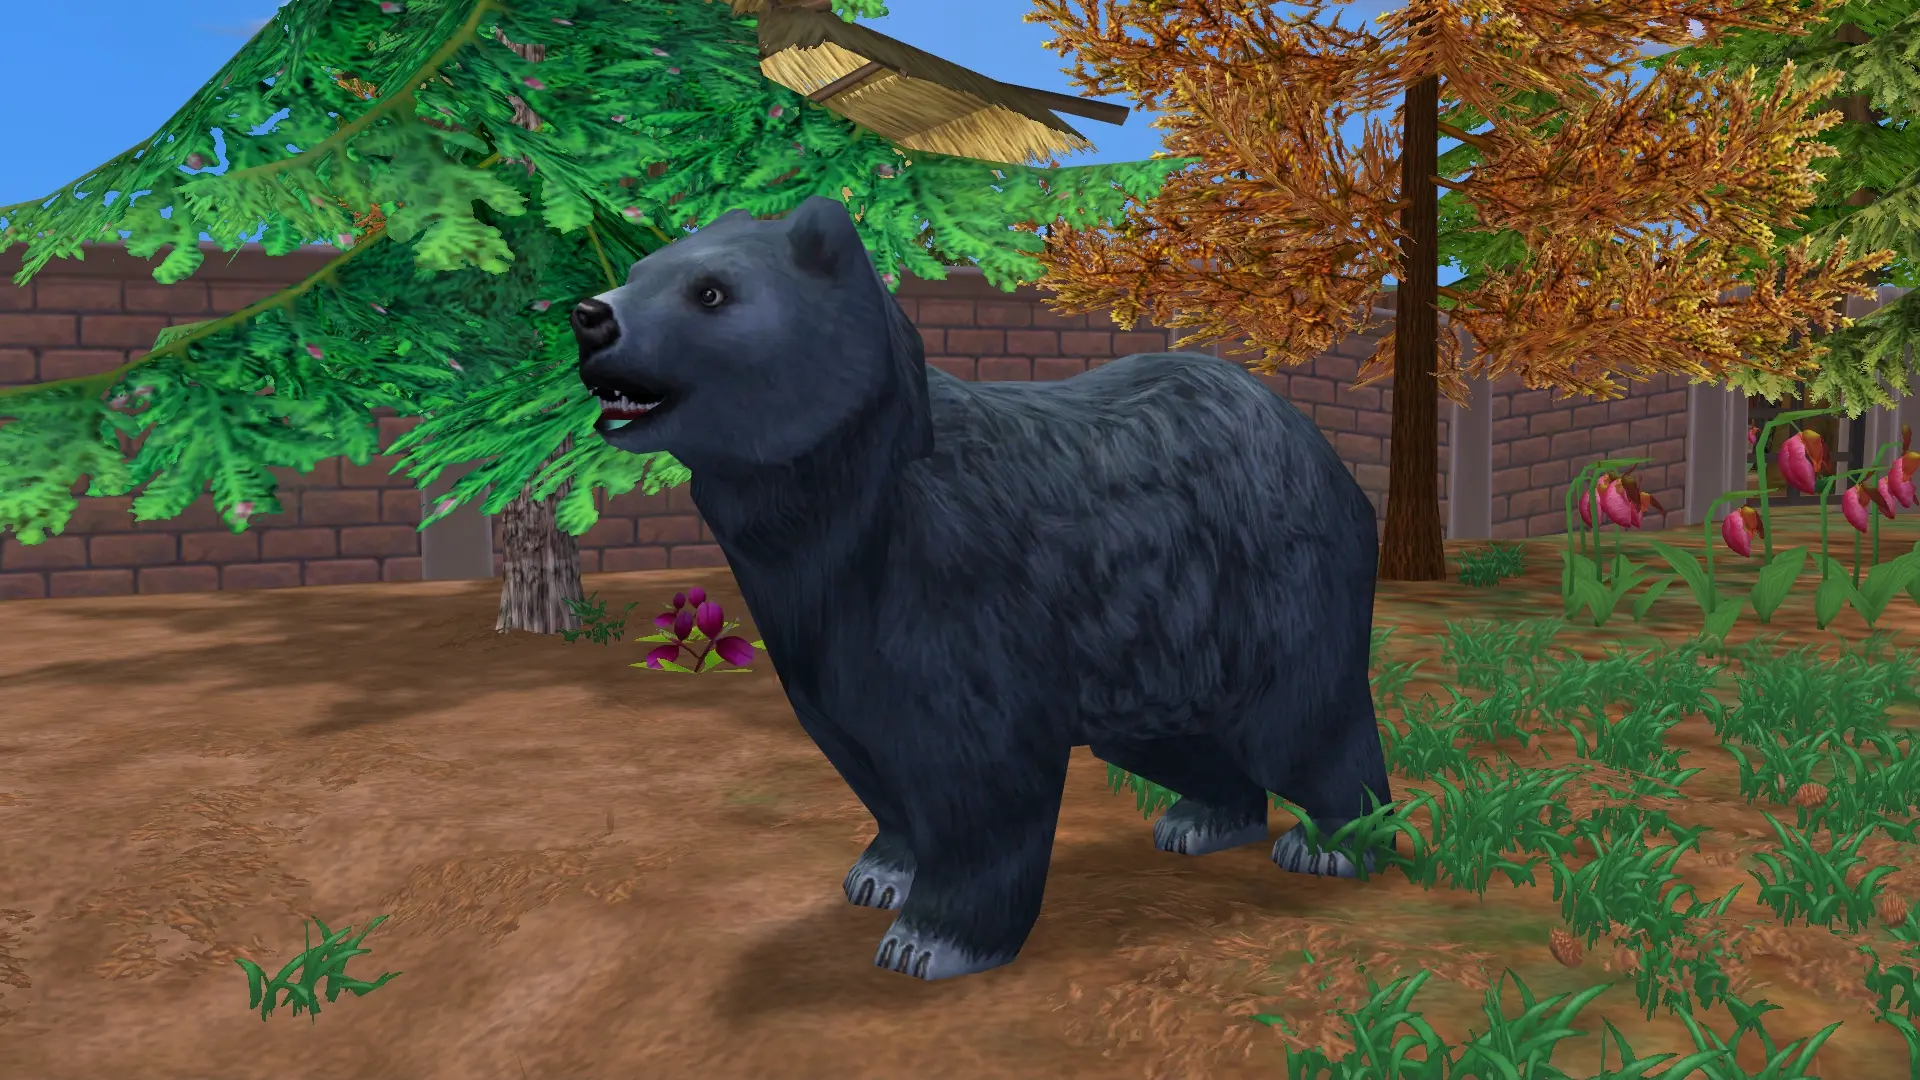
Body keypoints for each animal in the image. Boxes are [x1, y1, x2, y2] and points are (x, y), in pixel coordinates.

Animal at [573, 196, 1392, 982]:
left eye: (709, 290)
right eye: (640, 268)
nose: (590, 314)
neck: (834, 511)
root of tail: (1312, 439)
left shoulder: (961, 583)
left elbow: (983, 772)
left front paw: (930, 940)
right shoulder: (817, 623)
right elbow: (862, 749)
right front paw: (880, 873)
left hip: (1267, 578)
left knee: (1305, 718)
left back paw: (1335, 842)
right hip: (1155, 645)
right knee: (1169, 737)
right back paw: (1203, 818)